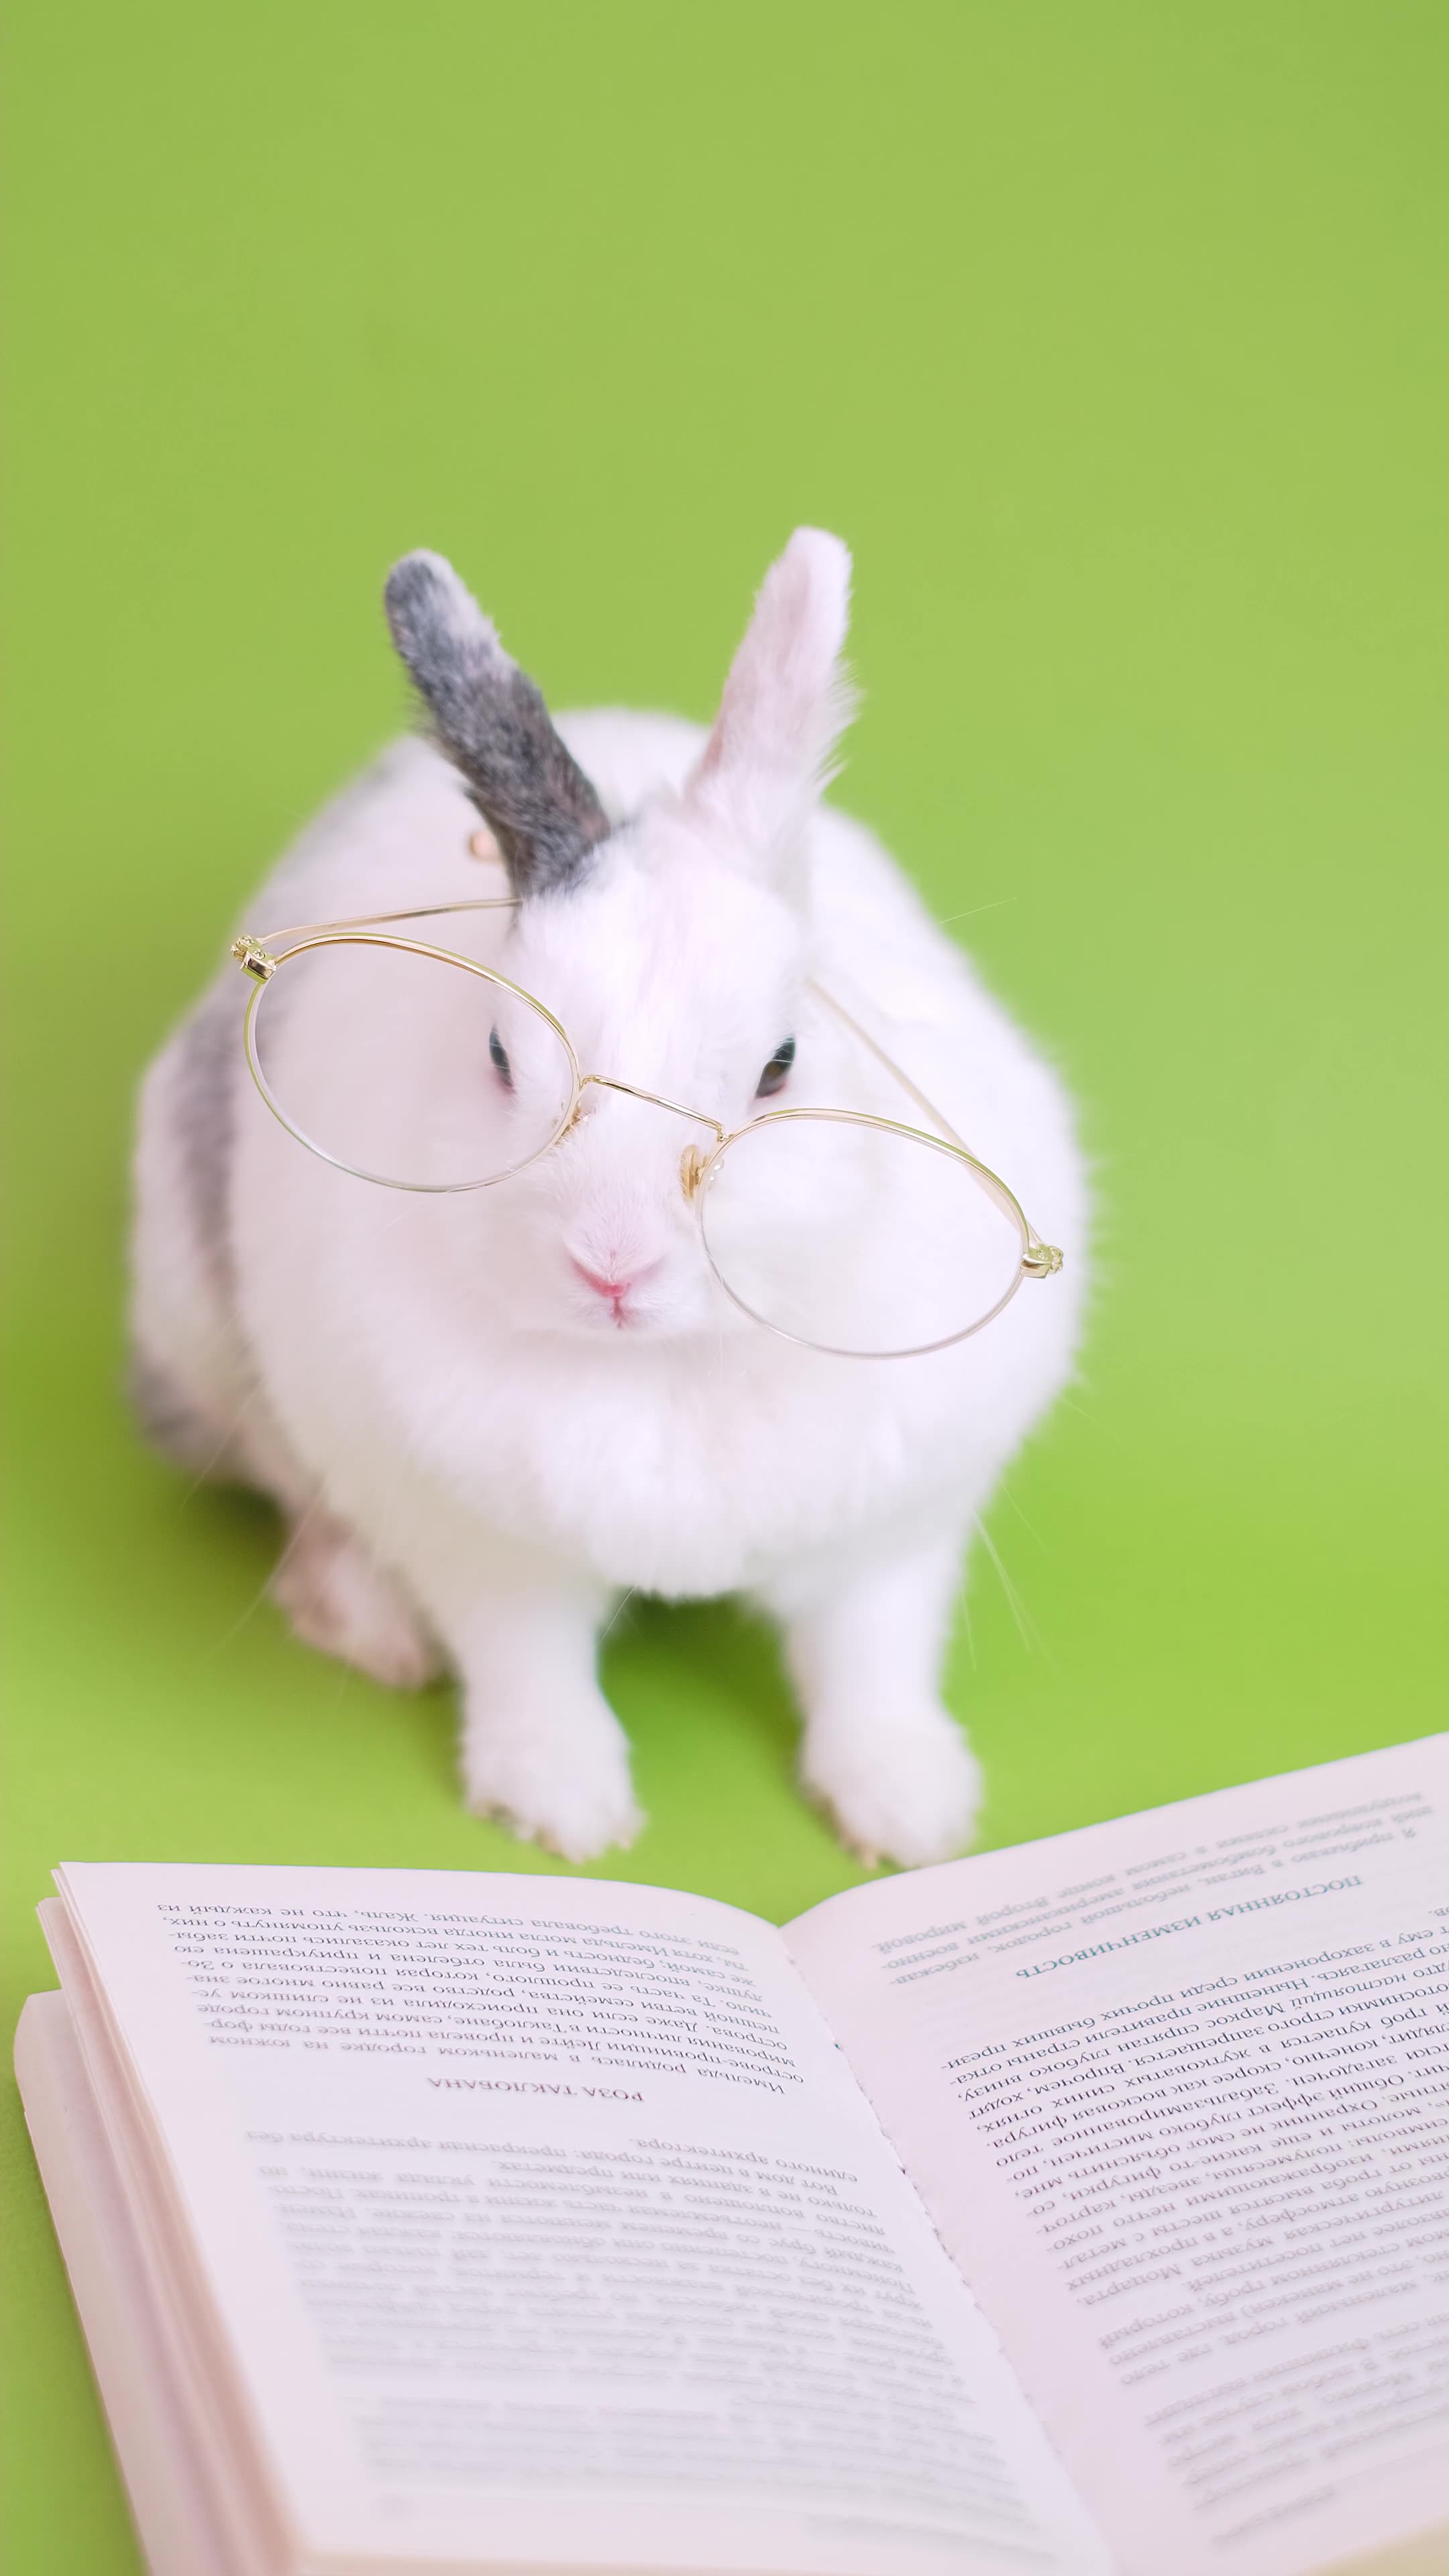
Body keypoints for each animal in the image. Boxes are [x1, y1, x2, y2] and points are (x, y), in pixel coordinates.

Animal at [130, 529, 1086, 1867]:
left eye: (781, 1066)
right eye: (498, 1058)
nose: (613, 1264)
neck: (666, 1367)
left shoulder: (892, 1543)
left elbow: (871, 1667)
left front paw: (912, 1817)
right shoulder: (479, 1546)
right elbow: (529, 1668)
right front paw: (566, 1812)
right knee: (291, 1490)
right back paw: (372, 1624)